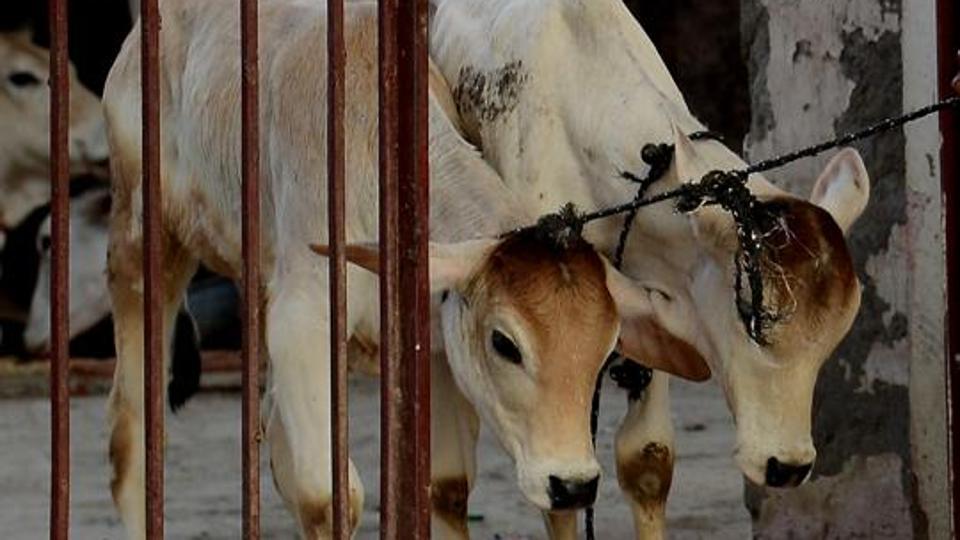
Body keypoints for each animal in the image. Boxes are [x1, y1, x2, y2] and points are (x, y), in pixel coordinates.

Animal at [101, 1, 678, 537]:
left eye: (606, 350)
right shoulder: (302, 321)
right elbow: (329, 498)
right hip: (143, 240)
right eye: (505, 343)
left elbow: (442, 486)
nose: (573, 484)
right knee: (131, 441)